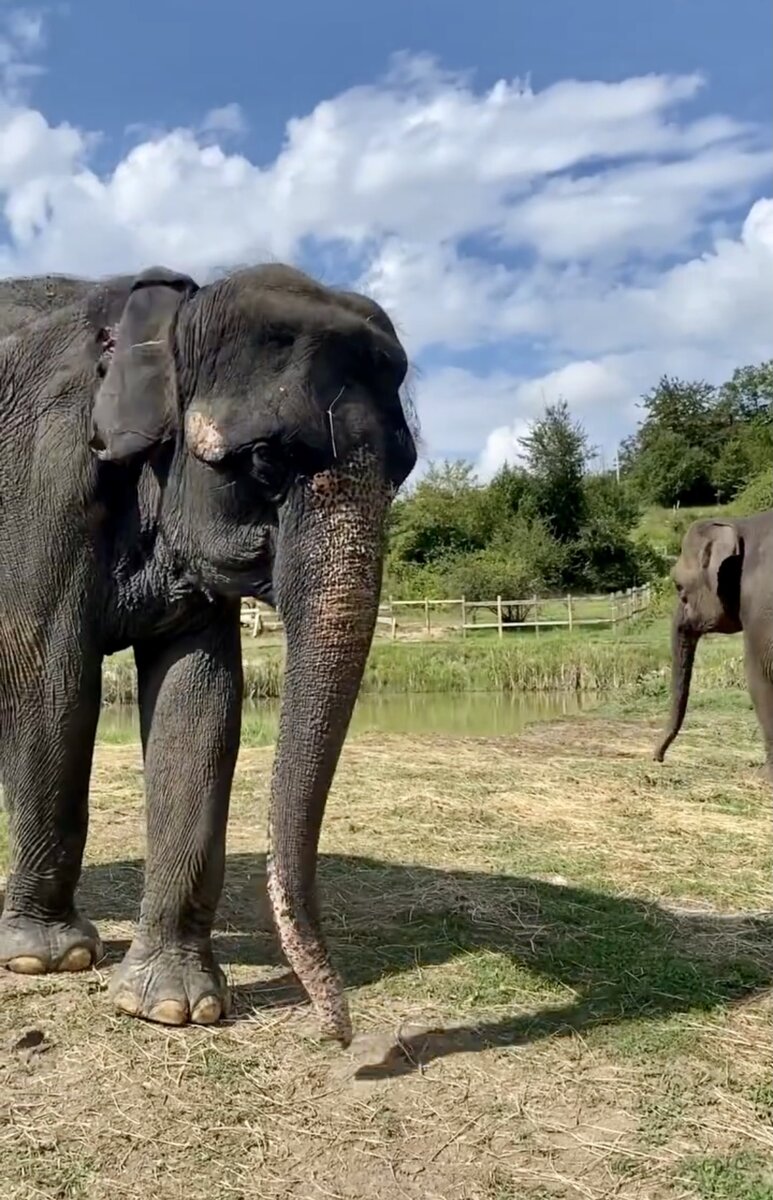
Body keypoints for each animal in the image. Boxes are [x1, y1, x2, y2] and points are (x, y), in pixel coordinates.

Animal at [0, 260, 417, 1041]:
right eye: (265, 461)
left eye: (403, 470)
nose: (339, 1034)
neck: (165, 319)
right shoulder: (39, 477)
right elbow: (48, 675)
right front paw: (47, 957)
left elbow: (199, 698)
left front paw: (173, 1006)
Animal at [652, 511, 773, 772]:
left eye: (678, 586)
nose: (657, 757)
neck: (742, 524)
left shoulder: (759, 608)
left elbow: (758, 675)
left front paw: (764, 775)